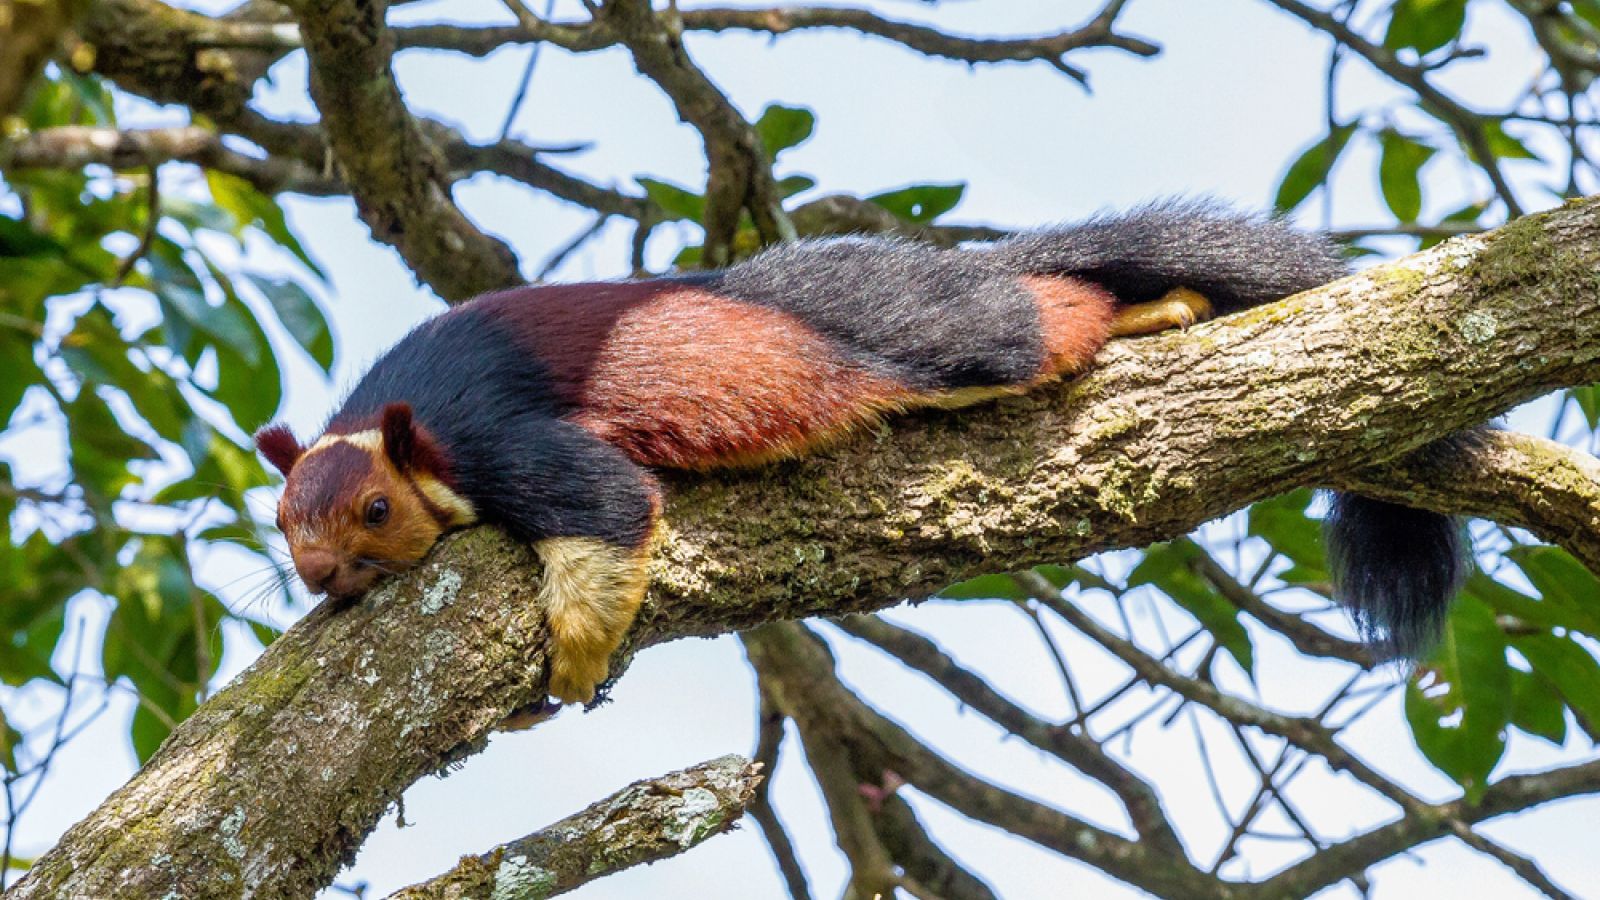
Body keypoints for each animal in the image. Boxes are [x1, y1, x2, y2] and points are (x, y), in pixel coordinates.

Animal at [255, 201, 1465, 704]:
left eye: (373, 510)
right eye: (279, 521)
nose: (318, 574)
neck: (407, 426)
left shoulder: (500, 440)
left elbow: (606, 510)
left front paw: (577, 660)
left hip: (947, 337)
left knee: (1033, 317)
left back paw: (1144, 310)